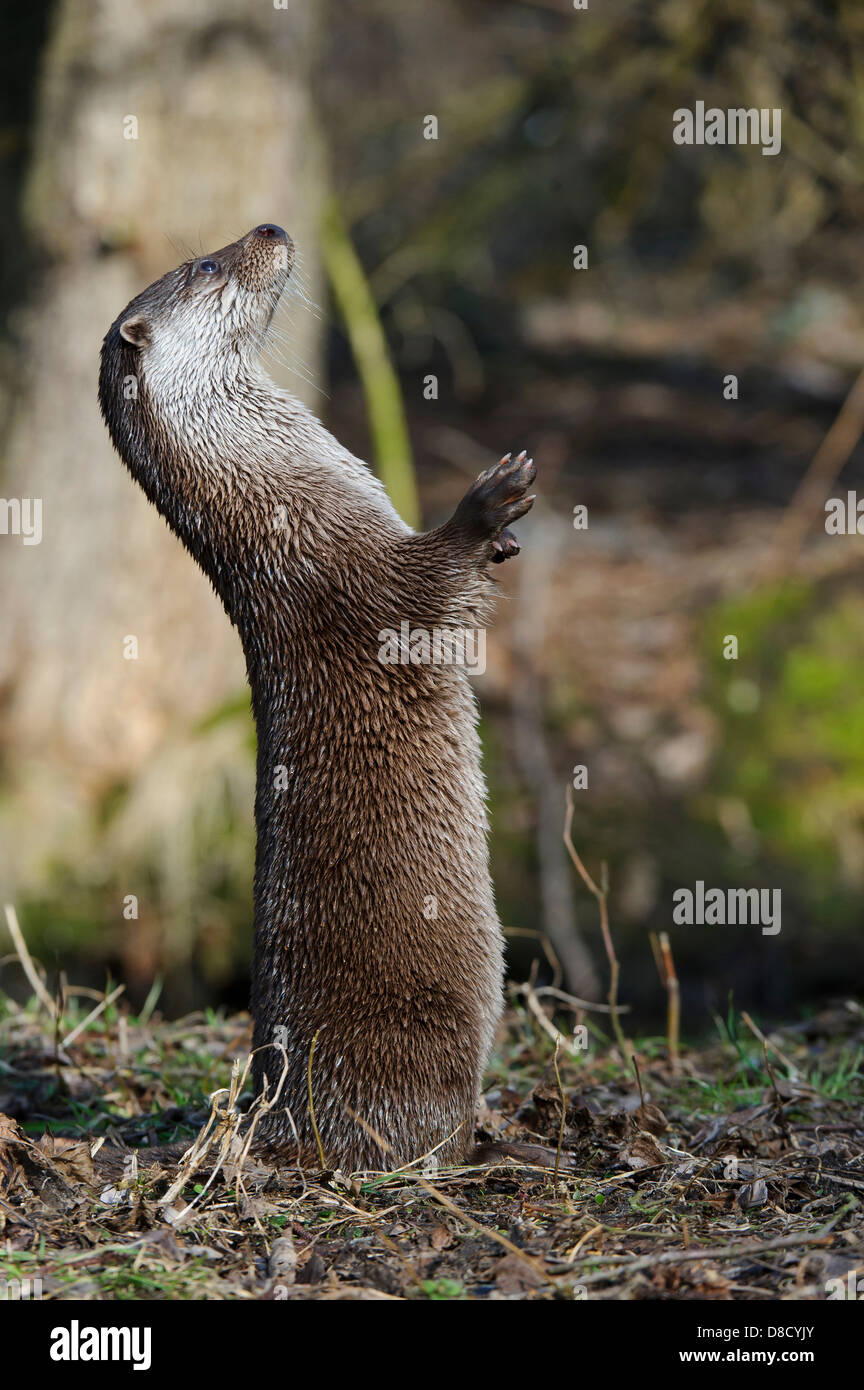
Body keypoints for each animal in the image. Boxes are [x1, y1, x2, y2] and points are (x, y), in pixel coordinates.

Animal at [98, 224, 536, 1171]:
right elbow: (436, 584)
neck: (283, 501)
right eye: (206, 266)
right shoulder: (358, 579)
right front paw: (489, 506)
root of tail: (280, 1112)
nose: (268, 229)